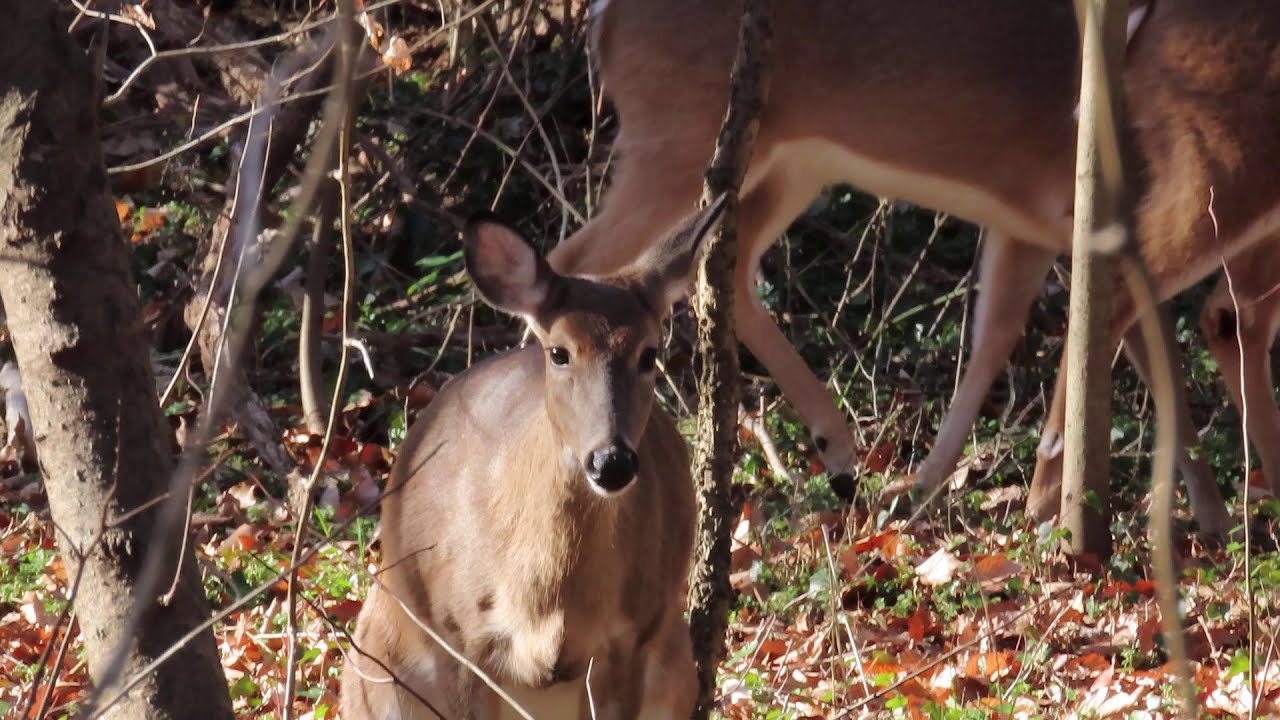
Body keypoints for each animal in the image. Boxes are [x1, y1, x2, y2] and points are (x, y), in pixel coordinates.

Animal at [339, 198, 725, 719]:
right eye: (559, 352)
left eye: (649, 354)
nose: (612, 462)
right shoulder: (460, 633)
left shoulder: (633, 633)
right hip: (378, 666)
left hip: (674, 660)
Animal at [546, 0, 1280, 536]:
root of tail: (602, 19)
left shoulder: (1034, 222)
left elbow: (1003, 331)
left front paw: (923, 487)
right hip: (678, 135)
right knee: (579, 261)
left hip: (783, 161)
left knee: (717, 267)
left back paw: (841, 455)